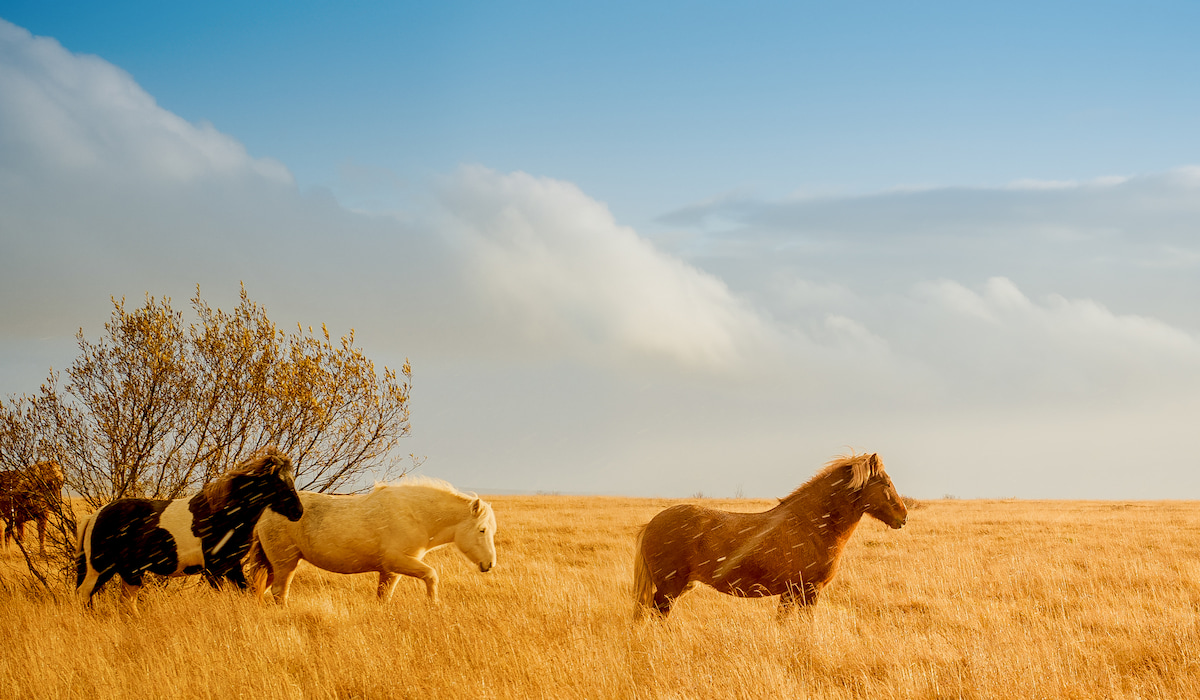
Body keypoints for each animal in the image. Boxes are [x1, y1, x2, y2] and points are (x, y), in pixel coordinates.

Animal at [75, 446, 303, 613]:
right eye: (277, 482)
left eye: (292, 480)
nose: (297, 511)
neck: (223, 514)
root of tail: (95, 516)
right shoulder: (214, 570)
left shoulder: (232, 566)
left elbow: (244, 593)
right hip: (100, 568)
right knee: (84, 595)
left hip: (130, 572)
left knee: (126, 603)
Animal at [247, 477, 497, 605]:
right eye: (482, 530)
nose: (490, 564)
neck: (415, 515)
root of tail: (267, 511)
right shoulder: (398, 562)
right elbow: (432, 575)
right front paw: (433, 604)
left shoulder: (390, 572)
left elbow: (383, 598)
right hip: (285, 563)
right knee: (279, 592)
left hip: (275, 565)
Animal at [632, 452, 907, 621]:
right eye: (886, 483)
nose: (903, 516)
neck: (812, 525)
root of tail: (651, 524)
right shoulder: (809, 592)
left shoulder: (790, 593)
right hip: (669, 588)